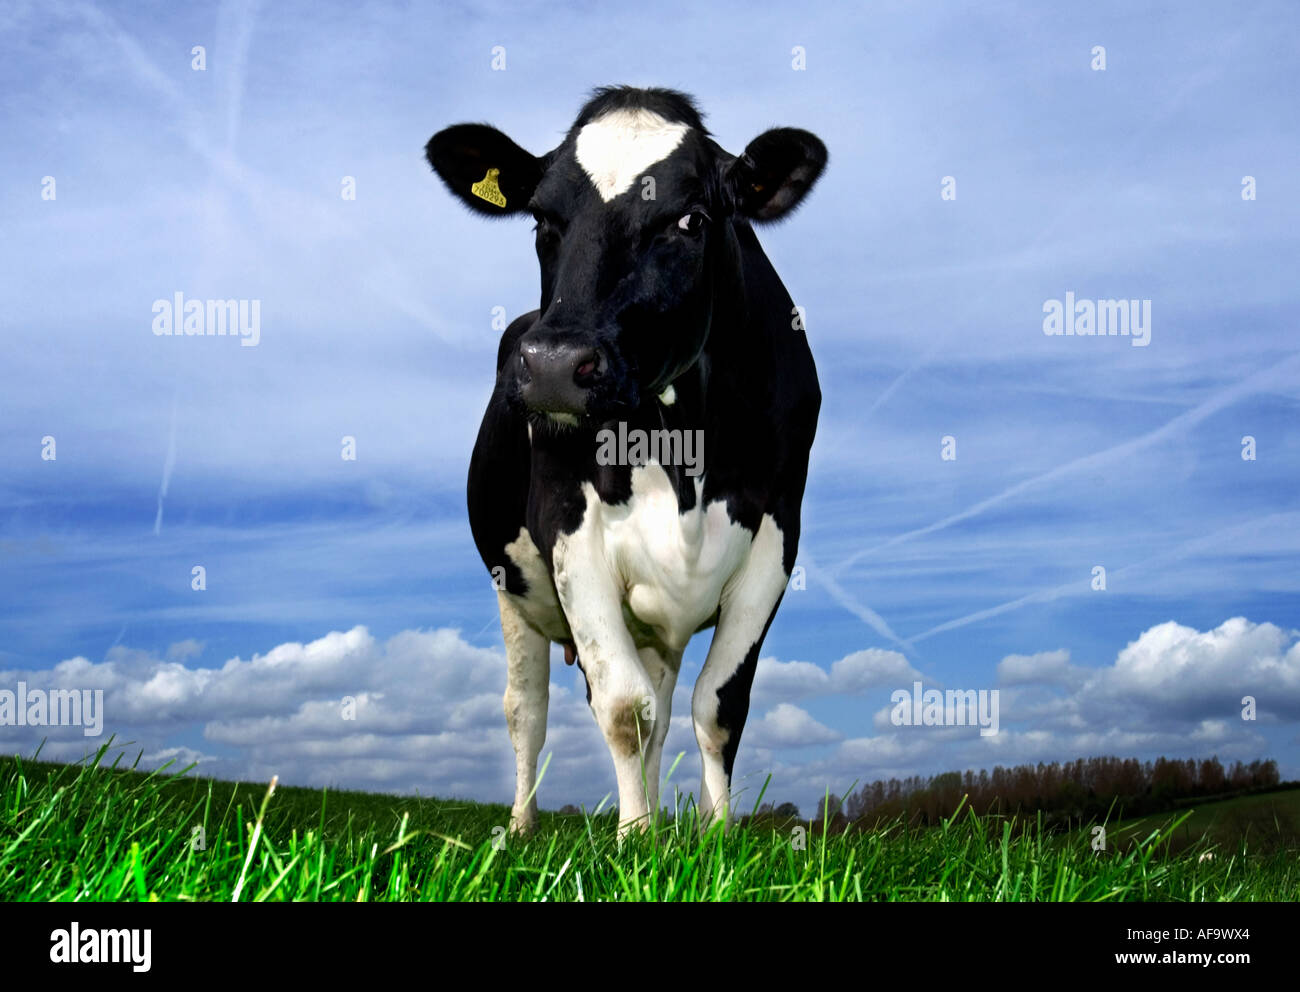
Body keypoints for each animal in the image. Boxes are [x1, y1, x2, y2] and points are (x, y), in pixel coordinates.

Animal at [425, 86, 826, 836]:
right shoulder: (568, 530)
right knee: (526, 712)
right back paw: (521, 827)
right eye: (542, 219)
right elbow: (621, 708)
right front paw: (634, 839)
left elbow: (717, 709)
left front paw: (712, 839)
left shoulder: (776, 535)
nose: (555, 366)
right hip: (513, 591)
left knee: (665, 709)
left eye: (690, 218)